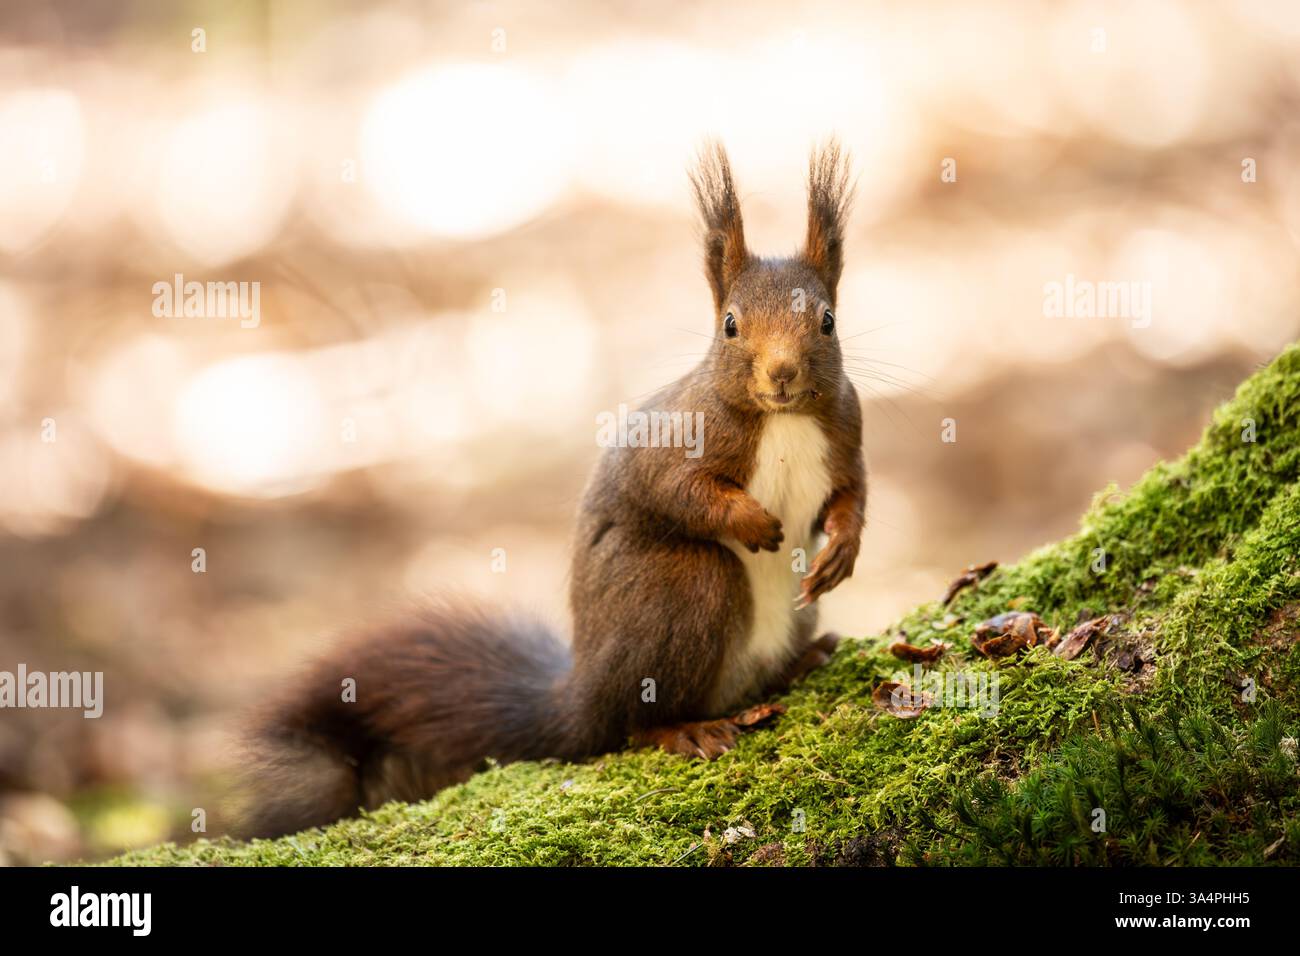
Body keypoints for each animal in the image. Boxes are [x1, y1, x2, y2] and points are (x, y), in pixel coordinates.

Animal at [236, 142, 865, 838]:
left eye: (828, 321)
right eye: (730, 325)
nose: (781, 374)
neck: (781, 420)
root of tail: (582, 693)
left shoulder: (847, 435)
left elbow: (852, 495)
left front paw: (842, 549)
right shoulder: (677, 440)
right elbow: (678, 490)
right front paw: (751, 521)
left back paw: (803, 661)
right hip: (678, 591)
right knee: (631, 720)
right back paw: (684, 728)